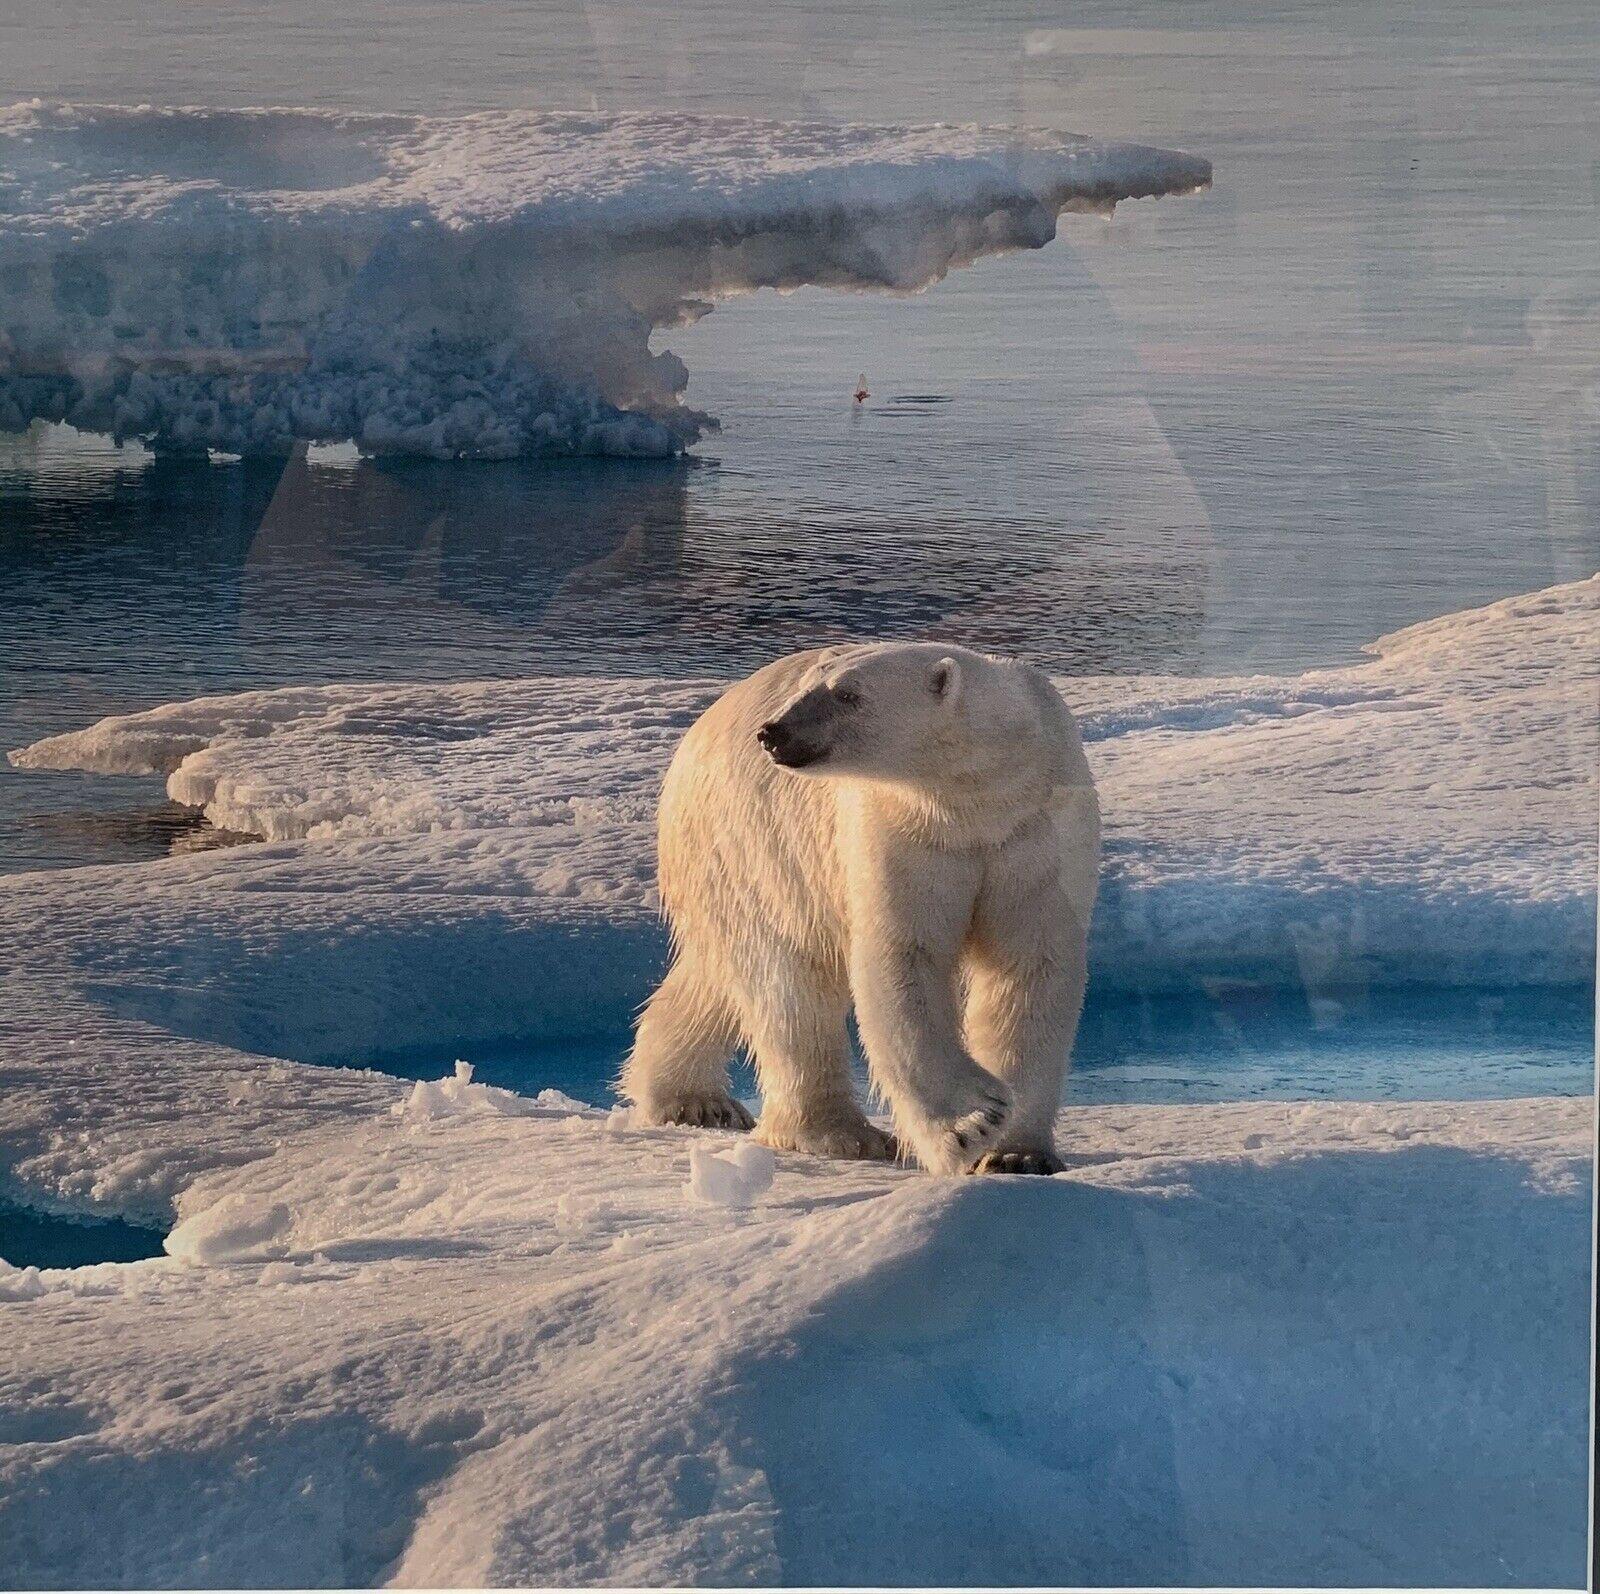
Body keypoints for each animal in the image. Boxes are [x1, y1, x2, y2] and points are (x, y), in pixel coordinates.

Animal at [620, 641, 1100, 1175]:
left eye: (847, 694)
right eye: (808, 685)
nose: (773, 732)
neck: (977, 796)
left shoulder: (1034, 829)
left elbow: (1031, 964)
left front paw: (1017, 1153)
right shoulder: (904, 827)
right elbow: (903, 959)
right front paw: (971, 1123)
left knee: (720, 974)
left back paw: (692, 1100)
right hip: (754, 844)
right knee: (788, 985)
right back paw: (840, 1134)